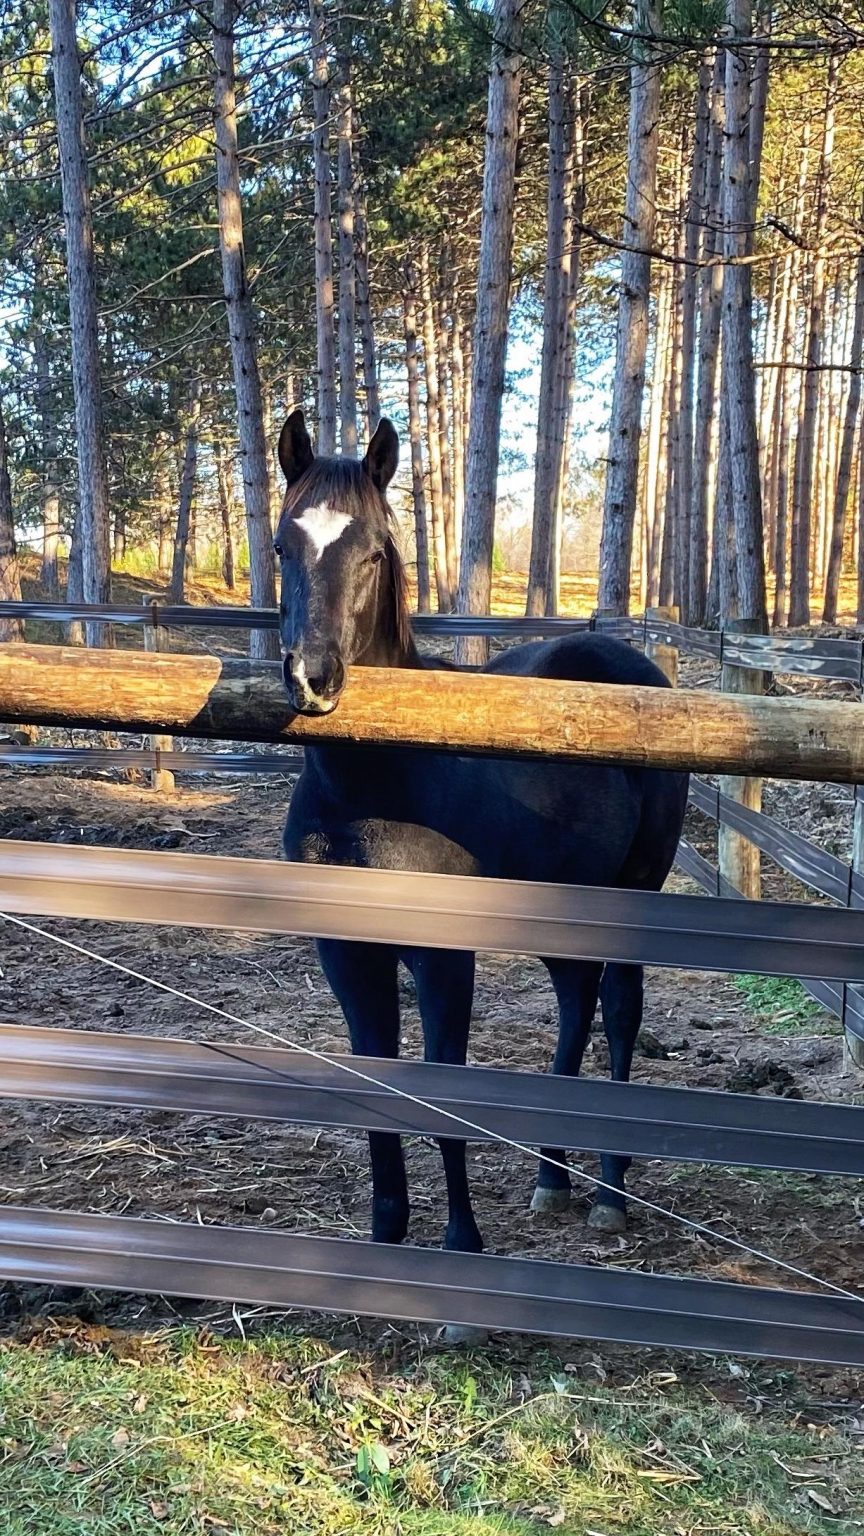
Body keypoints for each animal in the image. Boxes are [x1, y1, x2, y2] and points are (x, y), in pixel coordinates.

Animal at [275, 409, 689, 1256]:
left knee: (620, 1010)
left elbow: (444, 1098)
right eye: (280, 546)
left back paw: (610, 1189)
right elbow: (378, 1094)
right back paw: (553, 1177)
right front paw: (387, 1234)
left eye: (374, 552)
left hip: (634, 892)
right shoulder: (348, 955)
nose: (313, 677)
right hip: (561, 899)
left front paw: (461, 1244)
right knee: (576, 1003)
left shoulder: (445, 958)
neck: (380, 786)